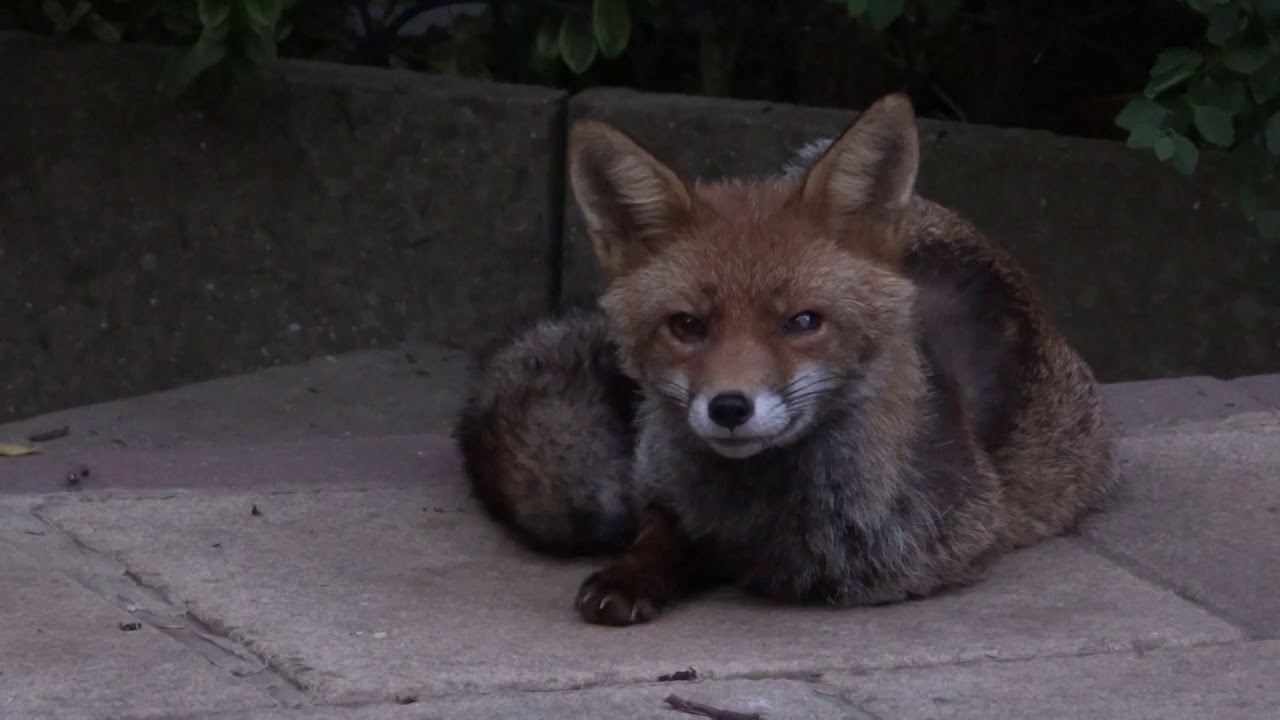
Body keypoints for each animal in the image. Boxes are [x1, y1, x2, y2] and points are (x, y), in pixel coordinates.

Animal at [454, 93, 1118, 627]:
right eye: (687, 326)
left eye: (803, 322)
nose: (729, 407)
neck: (758, 503)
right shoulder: (663, 490)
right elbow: (658, 531)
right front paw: (635, 573)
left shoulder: (922, 553)